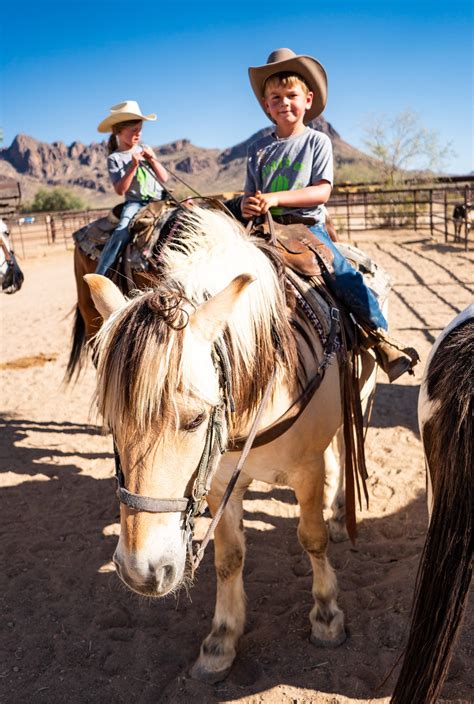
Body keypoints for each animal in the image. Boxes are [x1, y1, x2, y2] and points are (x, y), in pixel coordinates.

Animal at [83, 205, 383, 683]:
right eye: (111, 422)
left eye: (195, 419)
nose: (140, 573)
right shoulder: (221, 484)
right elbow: (229, 557)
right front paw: (221, 640)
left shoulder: (306, 471)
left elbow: (311, 537)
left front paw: (326, 615)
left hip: (361, 398)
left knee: (342, 454)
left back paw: (339, 514)